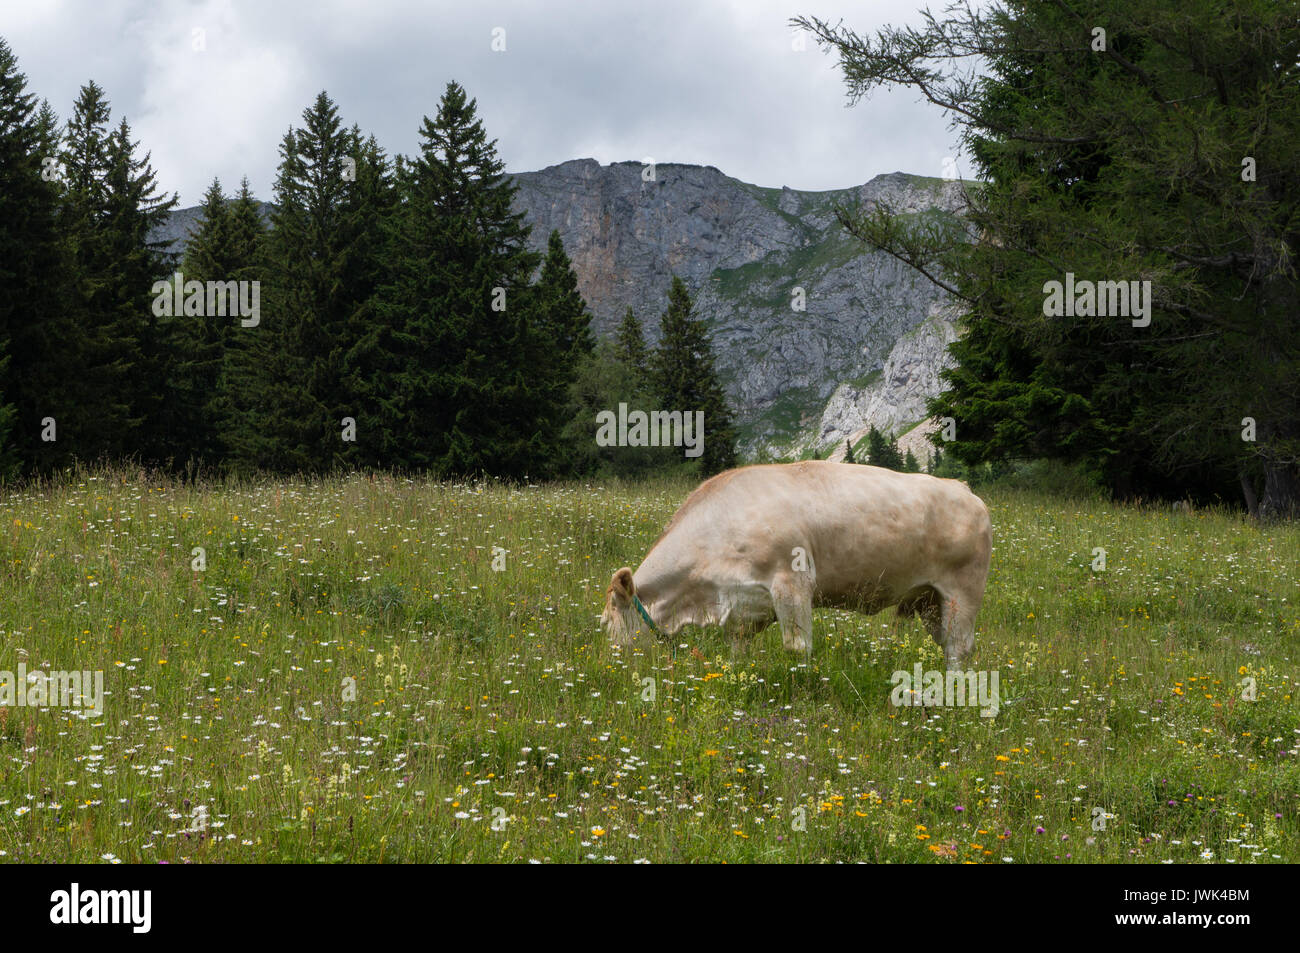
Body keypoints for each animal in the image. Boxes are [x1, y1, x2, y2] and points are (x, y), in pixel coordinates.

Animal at [601, 460, 992, 670]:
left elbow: (797, 648)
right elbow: (737, 651)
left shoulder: (793, 583)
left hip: (963, 592)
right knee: (946, 644)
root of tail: (963, 489)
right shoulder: (741, 605)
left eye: (605, 623)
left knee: (959, 647)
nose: (608, 668)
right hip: (929, 600)